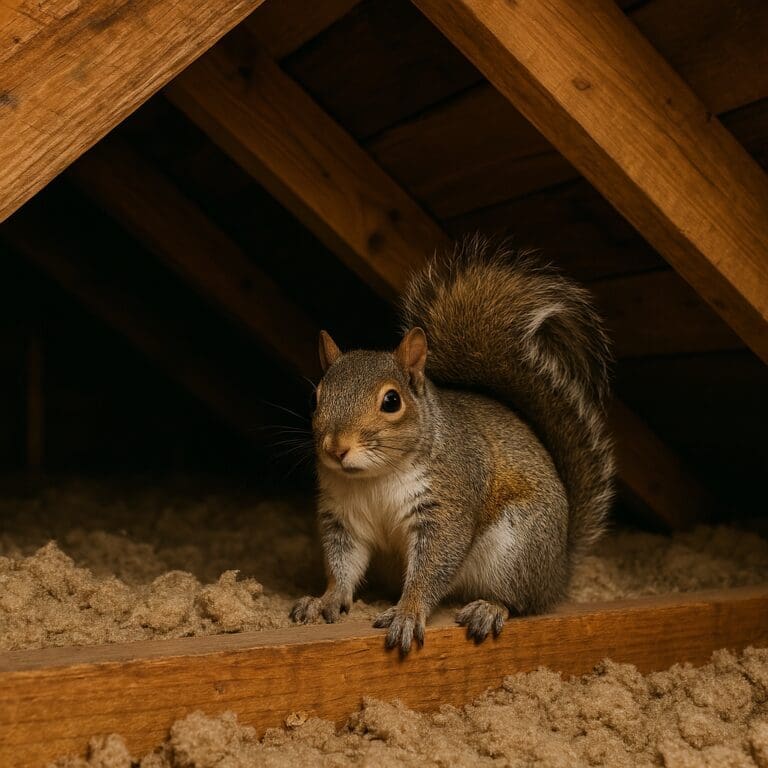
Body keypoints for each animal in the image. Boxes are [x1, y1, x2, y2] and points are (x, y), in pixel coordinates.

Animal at [291, 235, 614, 653]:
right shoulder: (343, 516)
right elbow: (341, 563)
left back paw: (489, 608)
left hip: (516, 549)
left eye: (391, 401)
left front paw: (407, 612)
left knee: (521, 600)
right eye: (316, 398)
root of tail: (558, 570)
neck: (375, 477)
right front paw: (326, 599)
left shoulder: (448, 502)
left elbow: (433, 566)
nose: (336, 449)